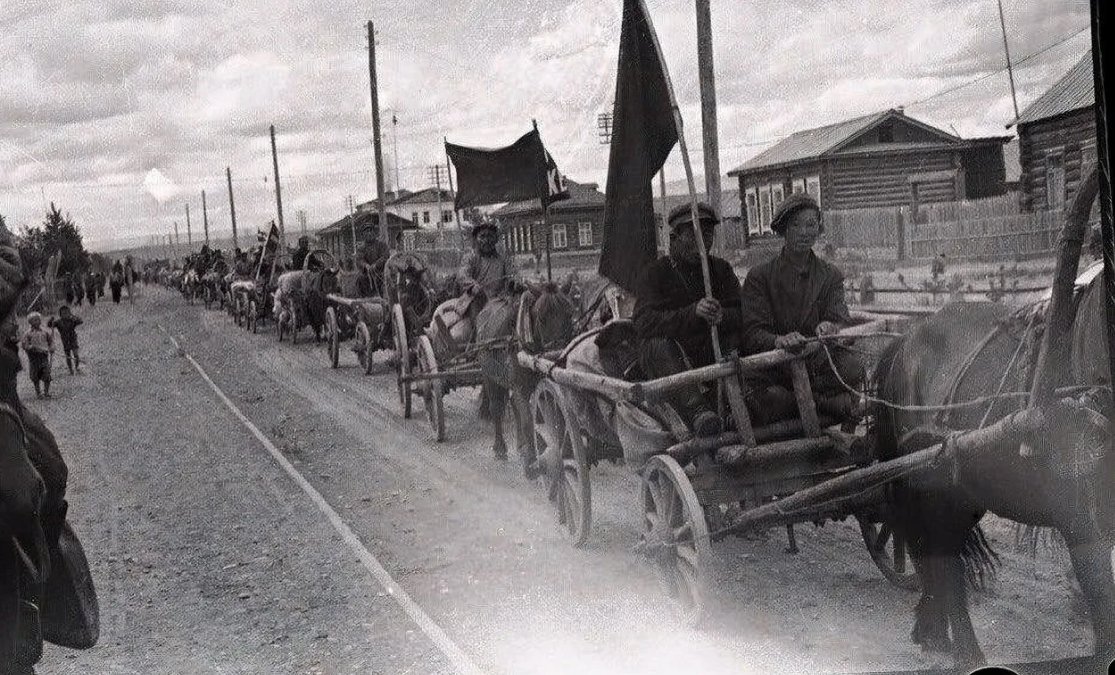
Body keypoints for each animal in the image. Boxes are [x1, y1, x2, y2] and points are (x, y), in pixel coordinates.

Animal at [869, 167, 1115, 664]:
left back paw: (933, 631)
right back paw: (965, 651)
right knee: (937, 556)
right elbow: (1102, 600)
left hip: (965, 488)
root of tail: (903, 339)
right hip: (930, 487)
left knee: (937, 558)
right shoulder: (1083, 513)